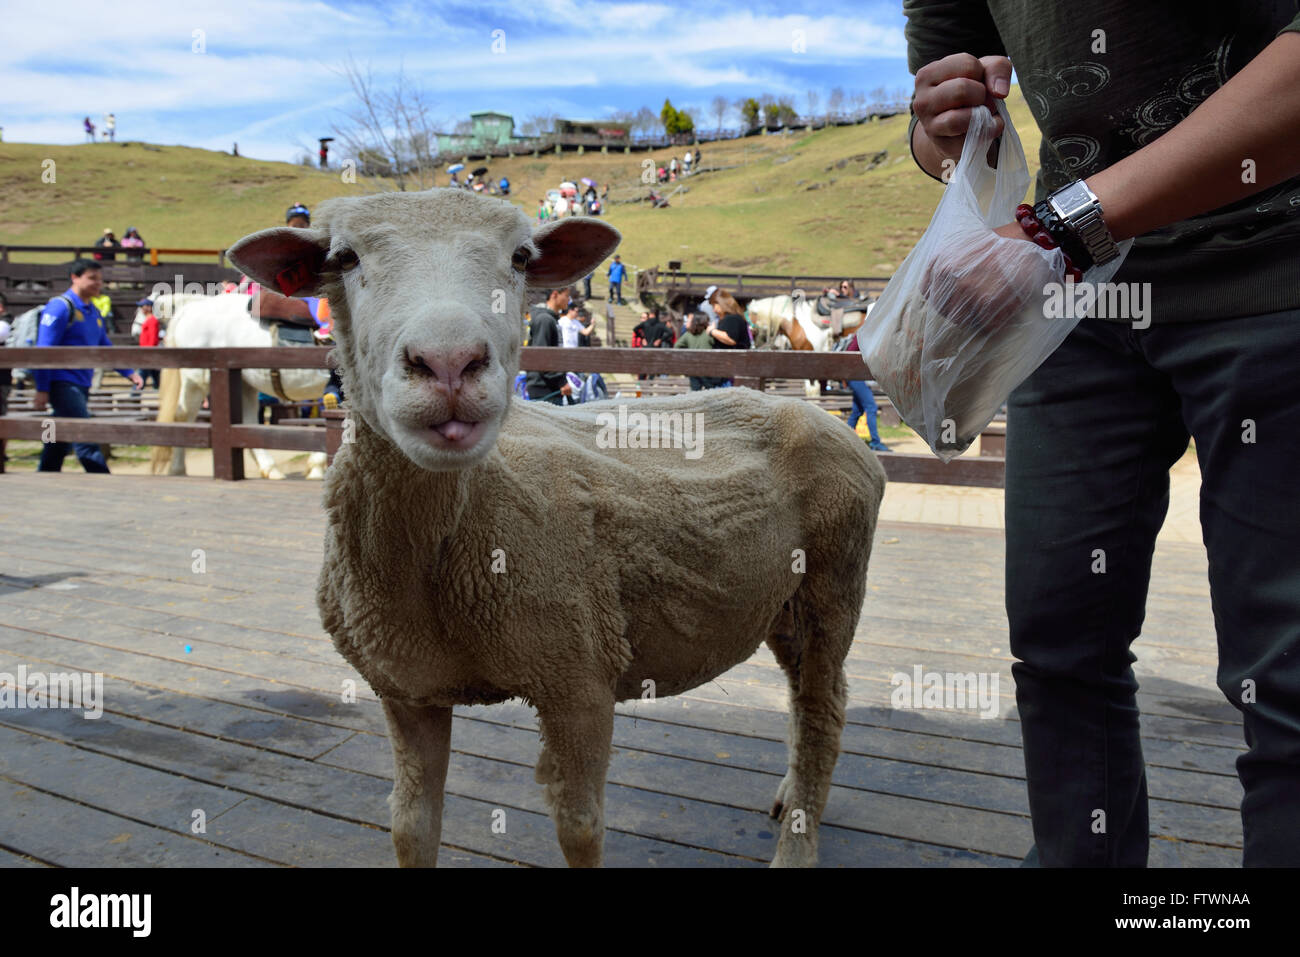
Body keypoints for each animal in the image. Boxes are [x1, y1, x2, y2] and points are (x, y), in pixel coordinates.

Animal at [227, 188, 886, 868]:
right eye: (344, 257)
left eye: (521, 257)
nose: (449, 363)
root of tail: (812, 412)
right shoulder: (408, 690)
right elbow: (411, 827)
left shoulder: (580, 677)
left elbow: (579, 828)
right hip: (784, 603)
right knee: (802, 701)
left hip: (834, 584)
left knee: (823, 713)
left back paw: (796, 844)